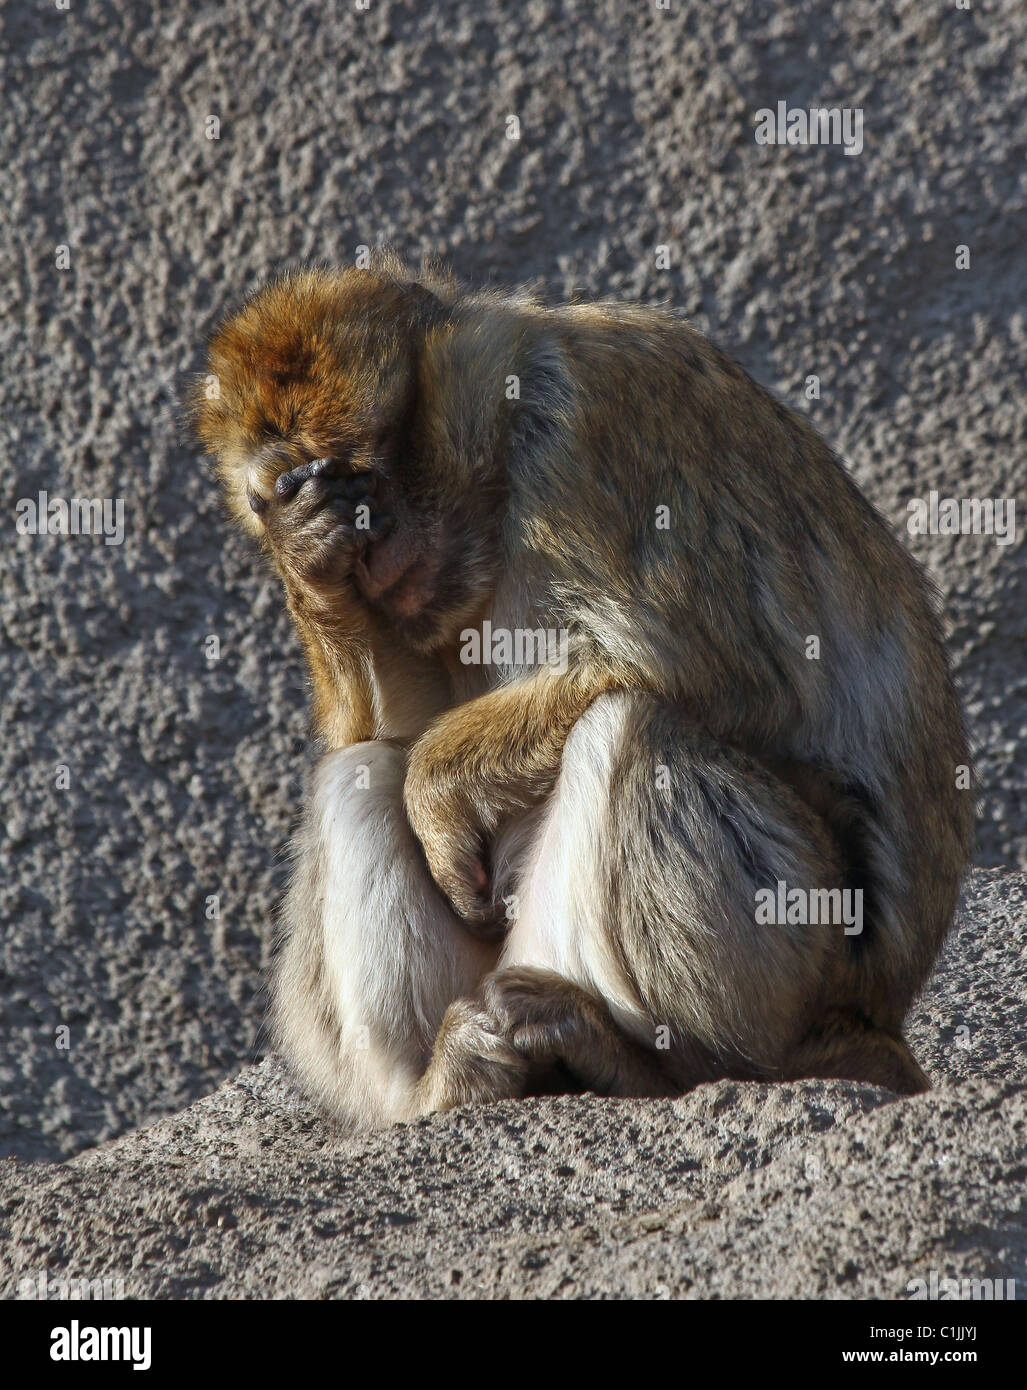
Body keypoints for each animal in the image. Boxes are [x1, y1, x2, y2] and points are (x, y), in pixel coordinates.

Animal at [191, 250, 973, 1127]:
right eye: (287, 493)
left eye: (356, 478)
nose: (366, 559)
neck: (500, 444)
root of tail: (872, 1019)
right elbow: (399, 721)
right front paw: (310, 564)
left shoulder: (587, 412)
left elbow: (683, 663)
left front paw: (435, 793)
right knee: (361, 770)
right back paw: (440, 1086)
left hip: (806, 955)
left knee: (632, 728)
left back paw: (655, 1063)